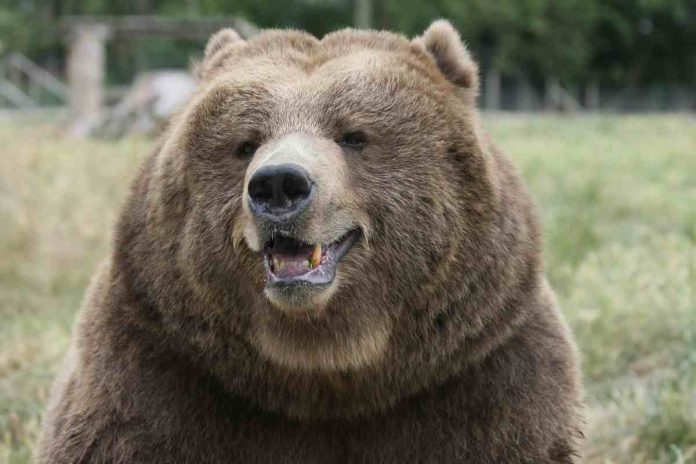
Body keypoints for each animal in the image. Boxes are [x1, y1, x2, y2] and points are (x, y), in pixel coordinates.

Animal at [38, 21, 583, 463]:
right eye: (246, 142)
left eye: (353, 135)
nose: (278, 184)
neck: (323, 368)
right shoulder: (158, 372)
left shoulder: (482, 371)